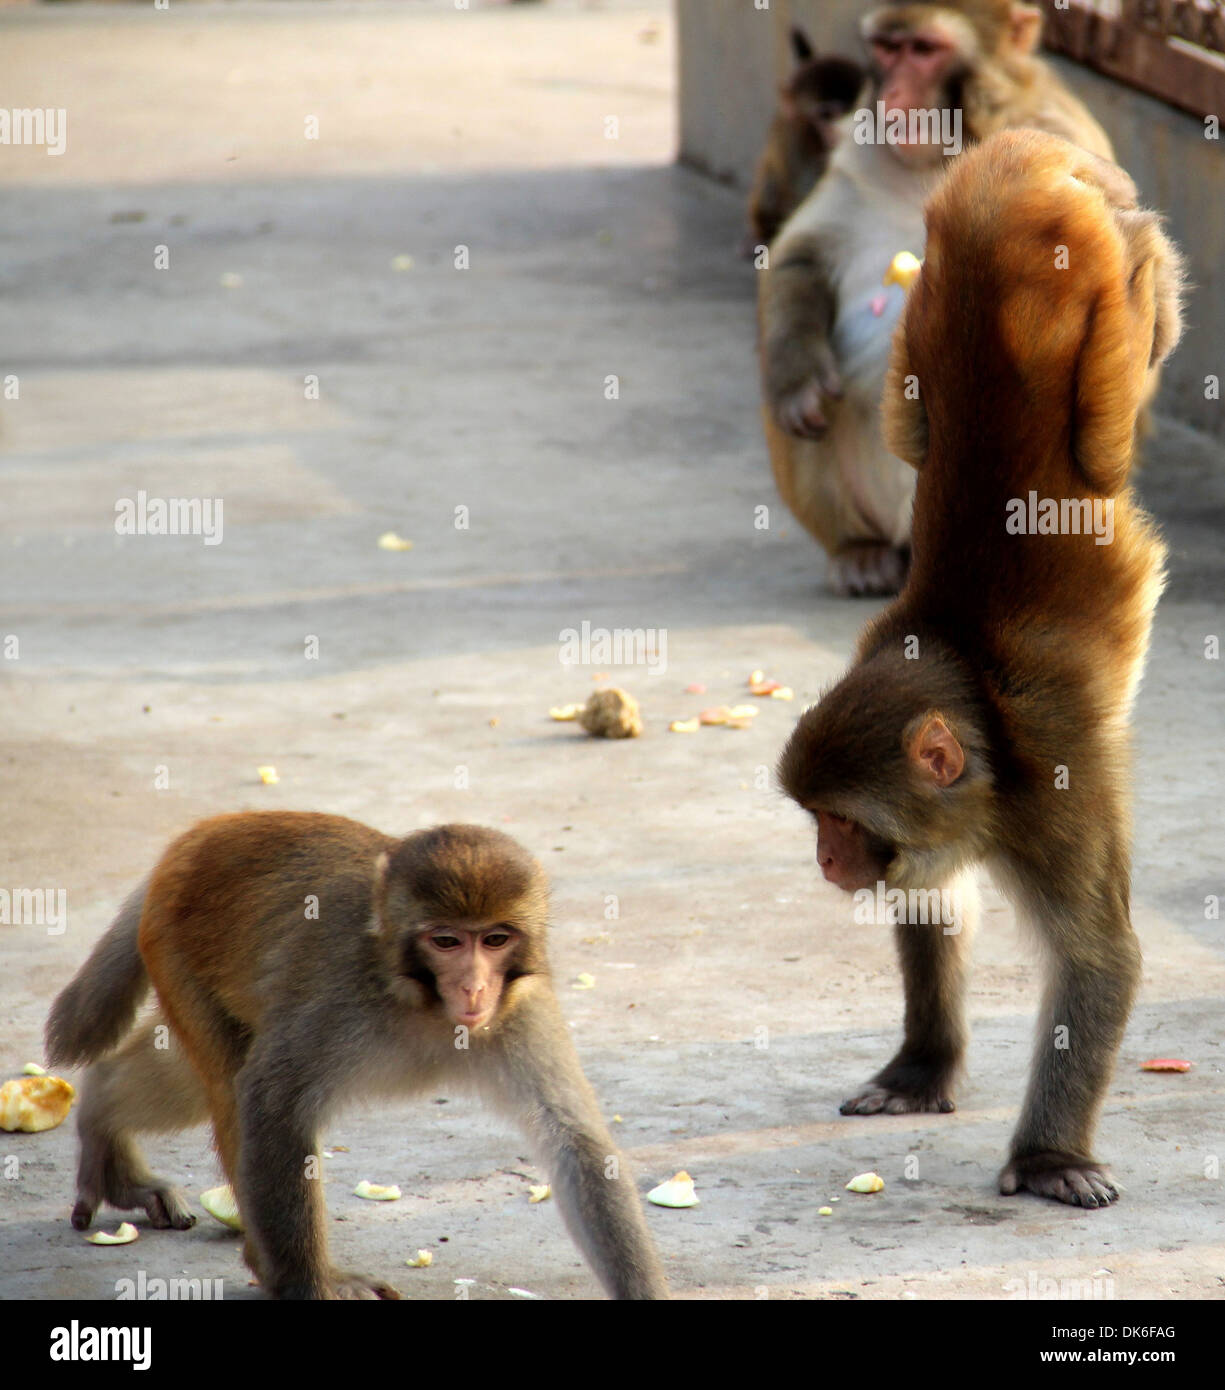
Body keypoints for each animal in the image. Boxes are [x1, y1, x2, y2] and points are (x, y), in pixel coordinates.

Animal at [46, 813, 669, 1299]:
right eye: (447, 941)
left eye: (495, 939)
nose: (473, 988)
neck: (423, 1003)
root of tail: (201, 835)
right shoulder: (343, 996)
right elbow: (273, 1101)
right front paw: (308, 1285)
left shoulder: (521, 1008)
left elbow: (575, 1142)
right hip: (177, 948)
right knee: (228, 1082)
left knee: (198, 1076)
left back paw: (102, 1117)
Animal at [758, 1, 1115, 595]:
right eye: (887, 49)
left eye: (925, 50)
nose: (894, 93)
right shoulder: (855, 155)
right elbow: (798, 256)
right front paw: (797, 379)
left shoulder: (1066, 142)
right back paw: (860, 552)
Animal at [777, 129, 1184, 1205]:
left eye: (840, 823)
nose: (823, 860)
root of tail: (1011, 166)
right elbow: (930, 904)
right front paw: (921, 1067)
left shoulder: (1055, 784)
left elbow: (1096, 955)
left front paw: (1048, 1157)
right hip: (932, 296)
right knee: (909, 421)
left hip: (1103, 268)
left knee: (1113, 392)